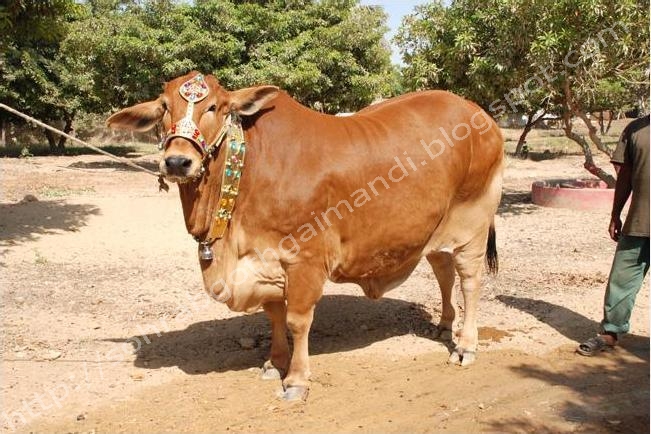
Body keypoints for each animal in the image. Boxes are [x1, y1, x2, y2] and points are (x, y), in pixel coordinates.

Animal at [106, 71, 504, 401]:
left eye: (215, 106)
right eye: (164, 107)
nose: (177, 162)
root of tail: (481, 116)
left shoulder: (305, 260)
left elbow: (297, 320)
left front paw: (296, 380)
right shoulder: (264, 261)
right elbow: (273, 315)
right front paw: (274, 363)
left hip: (473, 223)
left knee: (469, 280)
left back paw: (465, 345)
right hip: (433, 229)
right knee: (443, 271)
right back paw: (445, 325)